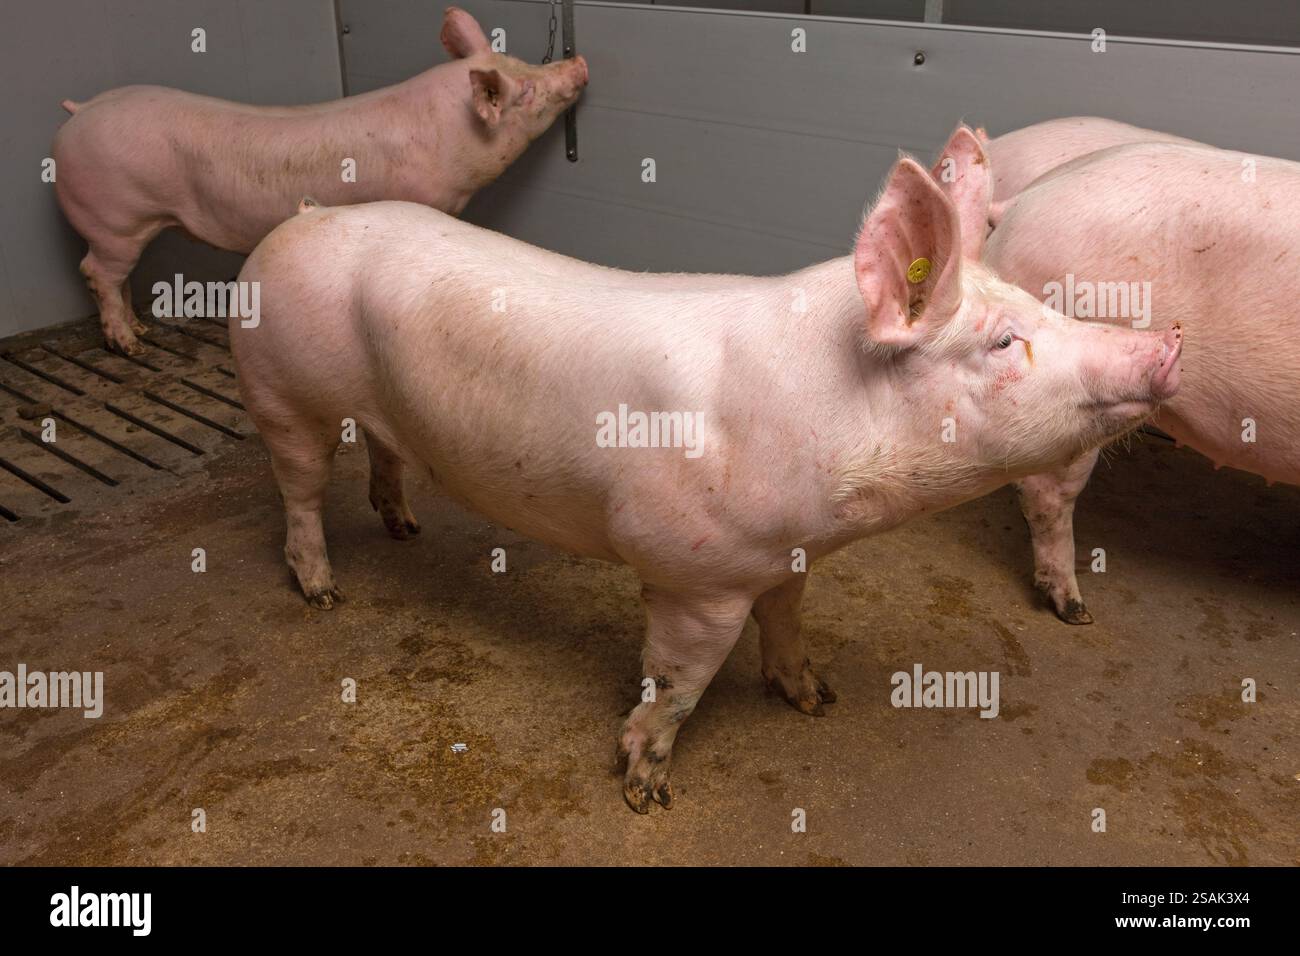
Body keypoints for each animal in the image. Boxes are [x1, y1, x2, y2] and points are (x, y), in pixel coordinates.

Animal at [52, 6, 588, 355]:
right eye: (528, 92)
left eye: (523, 62)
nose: (580, 63)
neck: (448, 133)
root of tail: (81, 113)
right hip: (116, 218)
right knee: (95, 272)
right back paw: (130, 347)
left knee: (114, 277)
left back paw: (140, 332)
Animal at [230, 126, 1180, 812]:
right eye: (1004, 342)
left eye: (1034, 307)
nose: (1167, 341)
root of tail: (300, 218)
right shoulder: (695, 572)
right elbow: (681, 682)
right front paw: (647, 791)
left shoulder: (787, 555)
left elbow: (788, 620)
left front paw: (816, 699)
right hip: (279, 391)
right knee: (300, 489)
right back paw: (322, 591)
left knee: (383, 449)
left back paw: (405, 527)